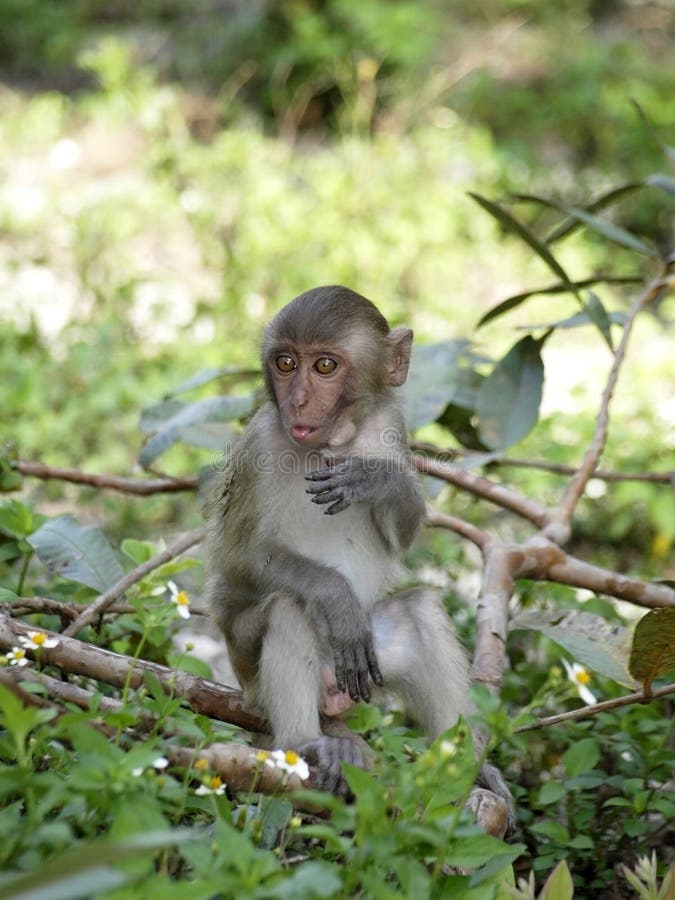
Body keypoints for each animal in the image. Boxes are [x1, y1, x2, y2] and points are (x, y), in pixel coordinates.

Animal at [205, 285, 513, 828]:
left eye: (325, 366)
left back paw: (462, 772)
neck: (334, 441)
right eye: (286, 363)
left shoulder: (390, 422)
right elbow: (241, 559)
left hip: (369, 669)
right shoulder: (260, 442)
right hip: (254, 677)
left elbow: (400, 537)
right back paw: (308, 744)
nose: (298, 399)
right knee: (289, 607)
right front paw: (337, 597)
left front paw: (378, 480)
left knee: (420, 611)